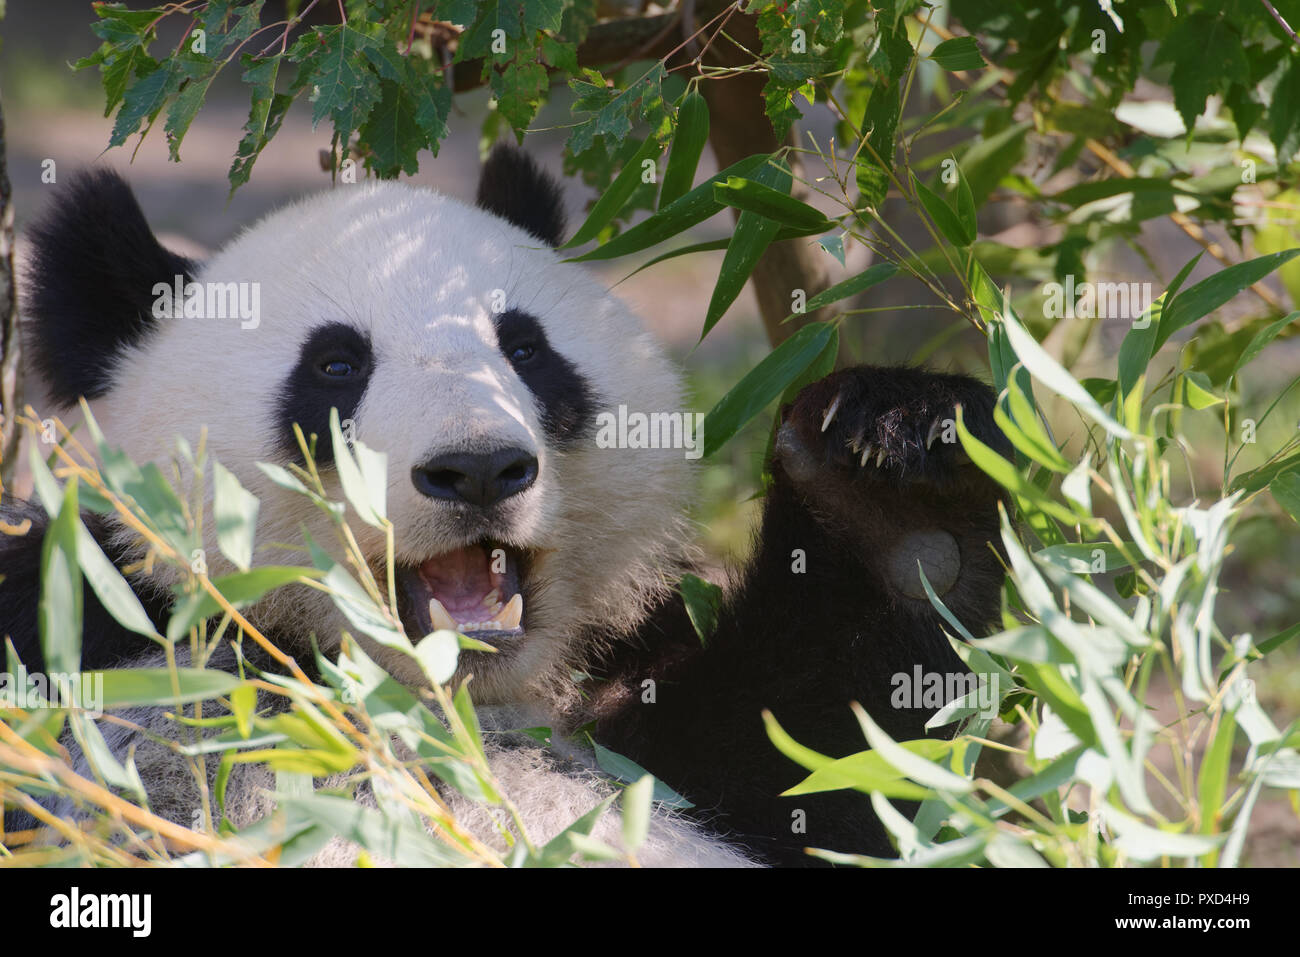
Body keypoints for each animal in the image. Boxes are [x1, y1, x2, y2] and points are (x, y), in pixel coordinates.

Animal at [0, 145, 1012, 866]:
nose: (479, 468)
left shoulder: (634, 715)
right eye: (336, 365)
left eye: (526, 349)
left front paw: (894, 482)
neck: (445, 703)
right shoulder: (97, 635)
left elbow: (836, 764)